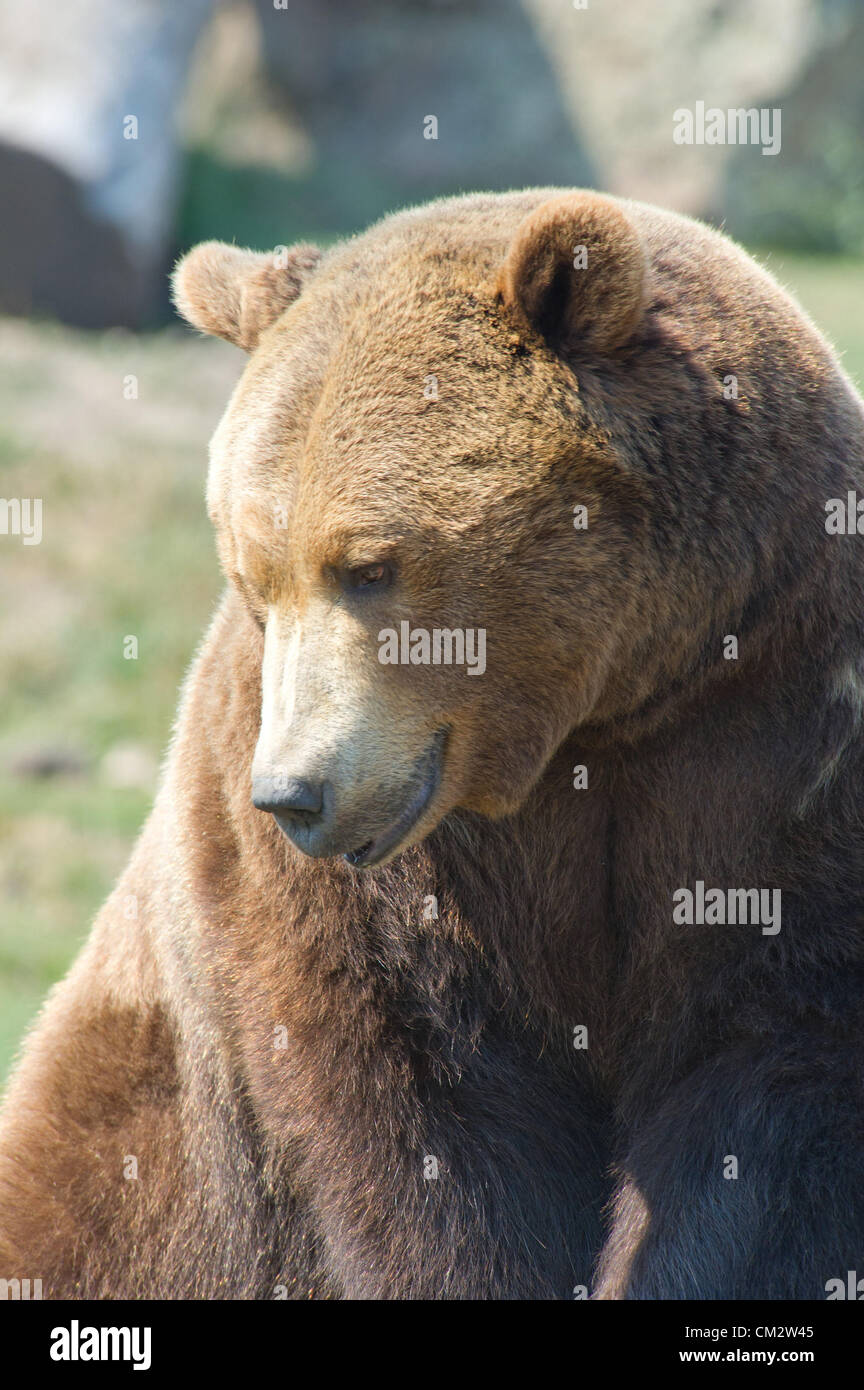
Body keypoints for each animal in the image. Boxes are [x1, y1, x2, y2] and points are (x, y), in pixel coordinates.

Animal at [1, 188, 864, 1300]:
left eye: (368, 565)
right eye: (252, 572)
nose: (294, 793)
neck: (589, 723)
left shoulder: (773, 734)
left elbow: (766, 1081)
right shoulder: (365, 882)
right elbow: (420, 1113)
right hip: (119, 1172)